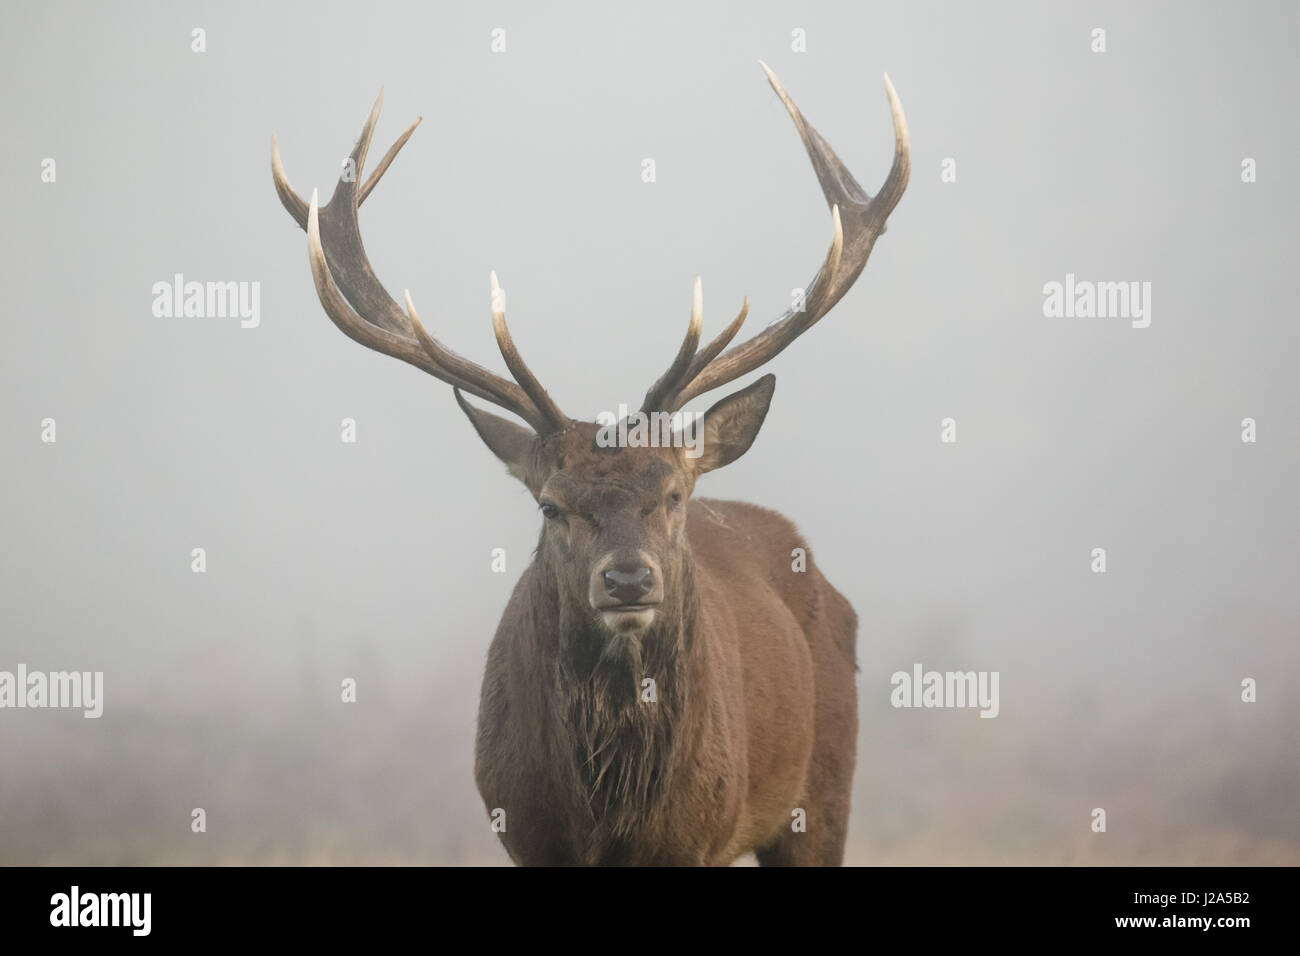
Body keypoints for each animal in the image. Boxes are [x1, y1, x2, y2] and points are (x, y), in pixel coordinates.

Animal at [272, 63, 909, 865]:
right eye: (551, 504)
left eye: (673, 495)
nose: (629, 578)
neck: (610, 815)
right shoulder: (523, 829)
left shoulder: (697, 836)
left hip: (825, 787)